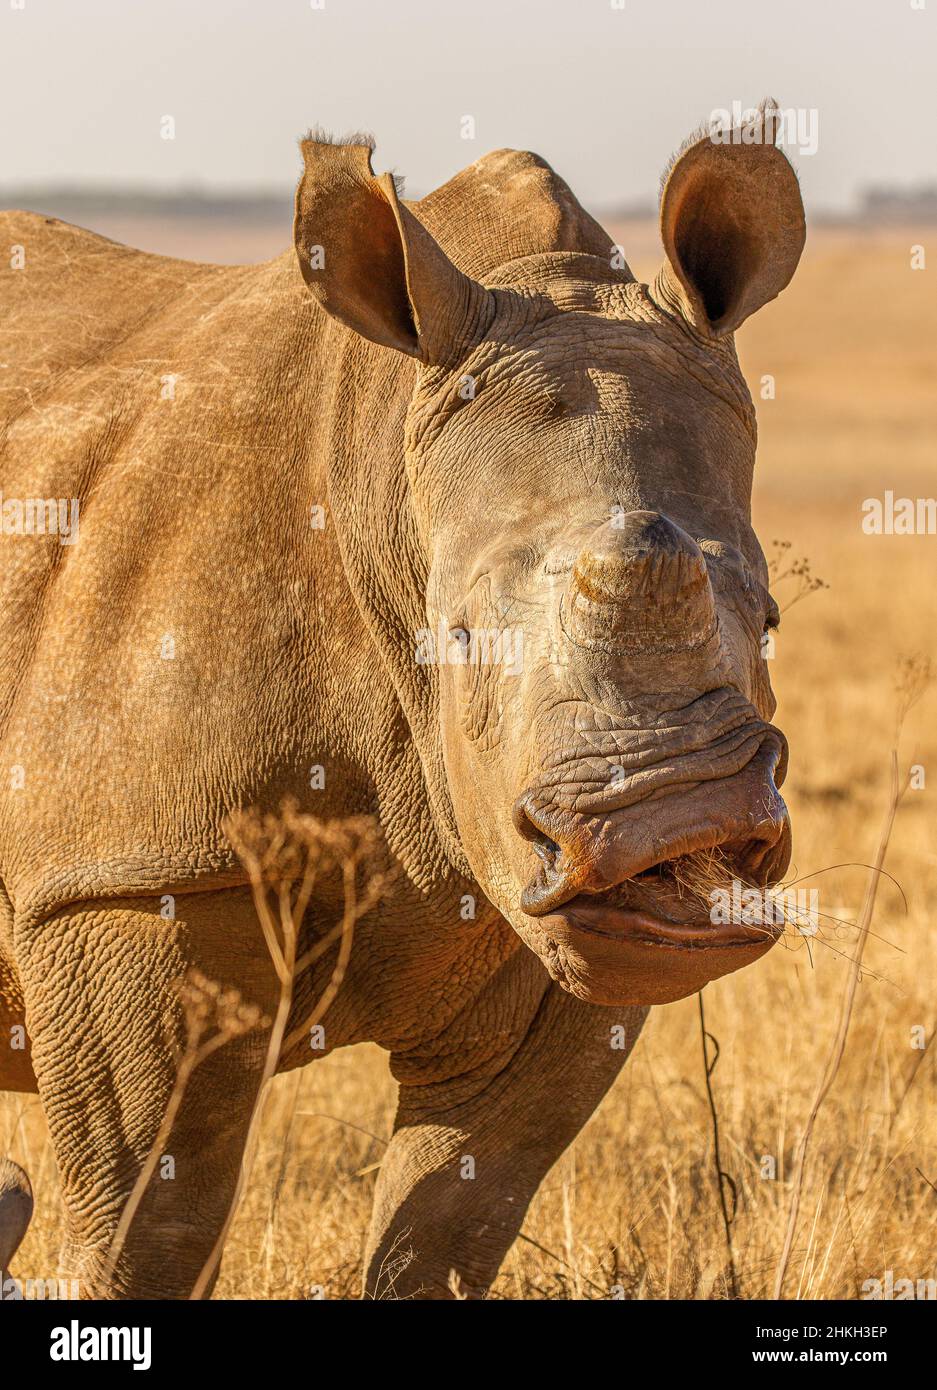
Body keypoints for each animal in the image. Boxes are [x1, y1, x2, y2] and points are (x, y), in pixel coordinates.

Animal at [0, 109, 804, 1299]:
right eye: (458, 636)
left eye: (769, 621)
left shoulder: (568, 950)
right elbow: (150, 1226)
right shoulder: (131, 874)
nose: (672, 824)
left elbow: (454, 1219)